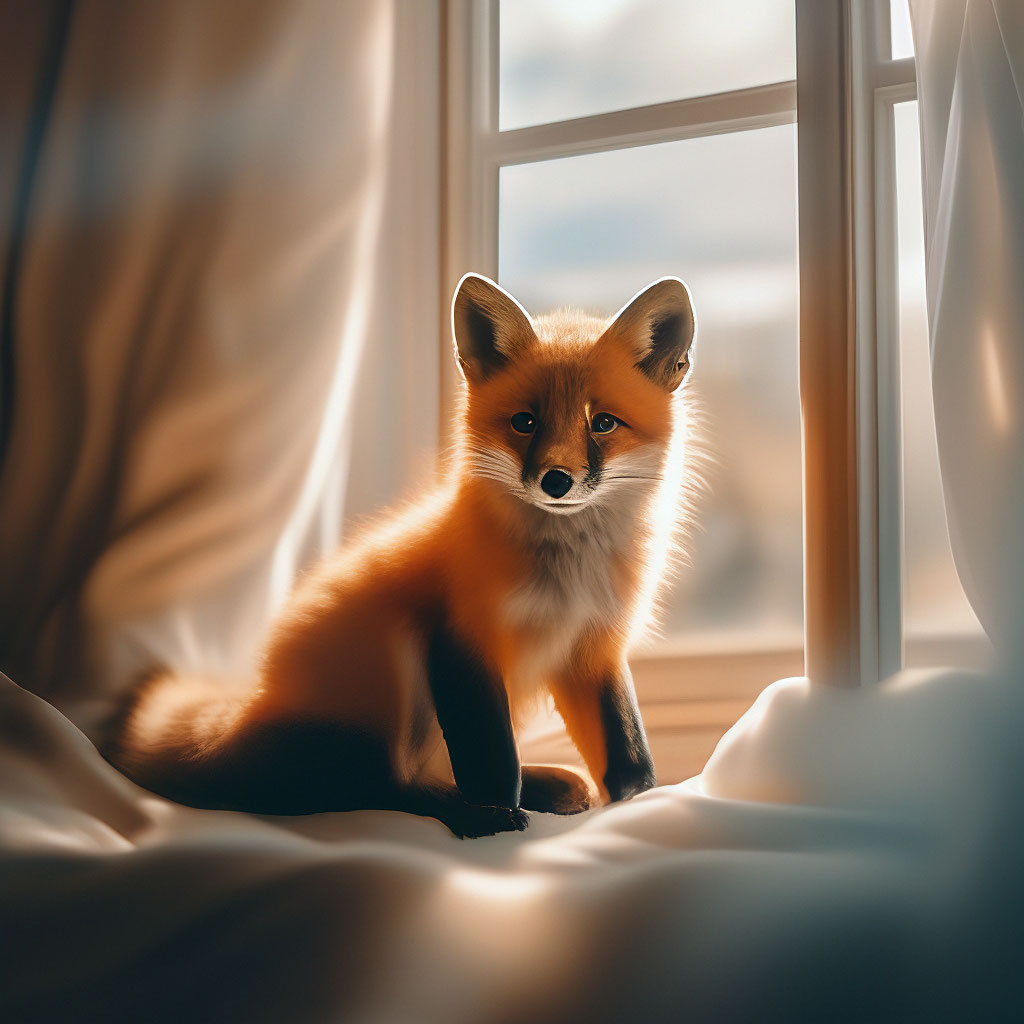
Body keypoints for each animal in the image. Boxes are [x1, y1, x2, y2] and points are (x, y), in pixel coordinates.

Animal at [106, 273, 696, 838]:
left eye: (603, 423)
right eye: (525, 422)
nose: (556, 481)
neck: (566, 574)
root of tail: (257, 704)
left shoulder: (593, 647)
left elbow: (626, 746)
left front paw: (643, 803)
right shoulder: (460, 640)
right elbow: (489, 755)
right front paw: (496, 818)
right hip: (394, 674)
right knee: (369, 788)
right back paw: (466, 811)